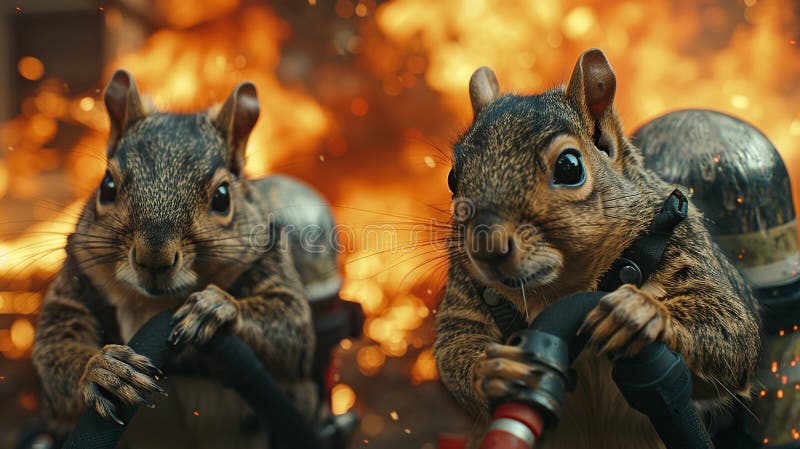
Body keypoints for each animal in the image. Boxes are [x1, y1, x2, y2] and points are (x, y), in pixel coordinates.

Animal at [31, 70, 316, 448]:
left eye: (223, 198)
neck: (154, 303)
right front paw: (101, 368)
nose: (154, 259)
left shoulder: (268, 262)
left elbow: (293, 329)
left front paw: (215, 307)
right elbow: (53, 351)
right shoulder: (76, 284)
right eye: (107, 187)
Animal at [433, 49, 761, 448]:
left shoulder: (683, 247)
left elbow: (733, 331)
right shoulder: (467, 291)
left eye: (569, 167)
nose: (486, 244)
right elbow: (454, 345)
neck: (563, 290)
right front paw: (492, 370)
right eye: (453, 178)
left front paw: (641, 313)